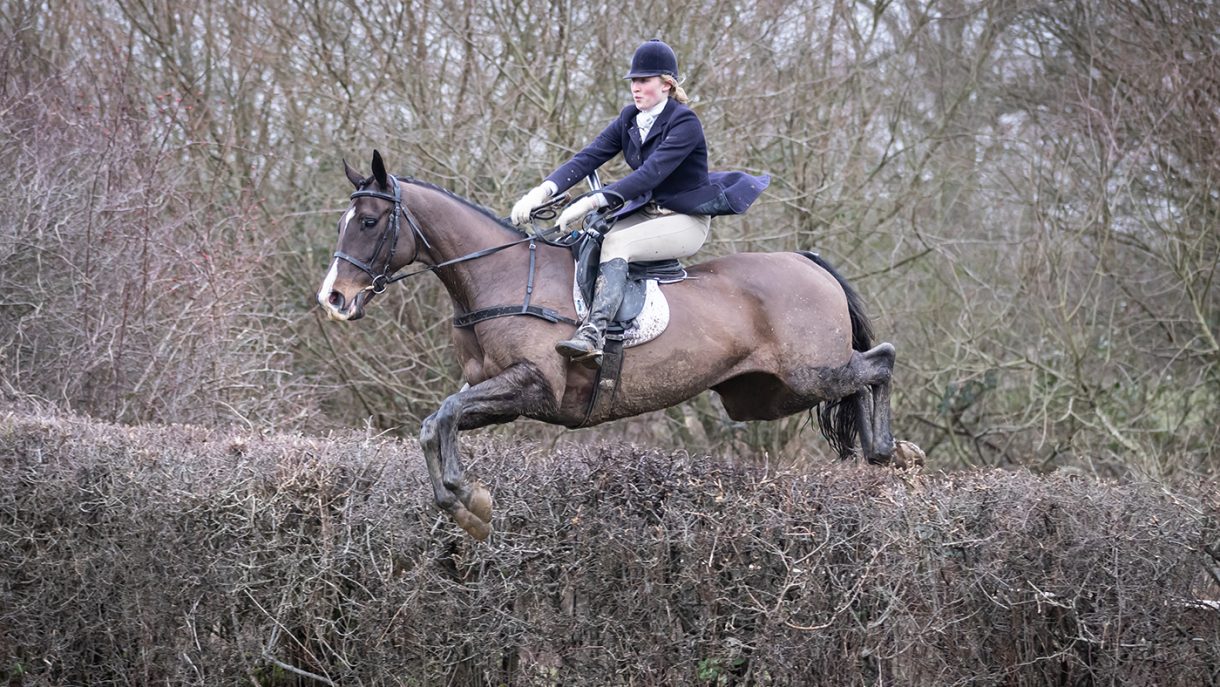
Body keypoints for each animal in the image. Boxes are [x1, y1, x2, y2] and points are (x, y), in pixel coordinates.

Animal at [317, 151, 922, 540]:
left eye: (368, 221)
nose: (335, 298)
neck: (502, 278)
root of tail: (805, 260)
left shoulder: (531, 387)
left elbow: (442, 415)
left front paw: (471, 502)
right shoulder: (499, 395)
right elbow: (435, 424)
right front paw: (464, 506)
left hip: (805, 376)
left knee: (879, 362)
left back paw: (890, 451)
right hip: (762, 397)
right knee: (864, 374)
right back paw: (889, 456)